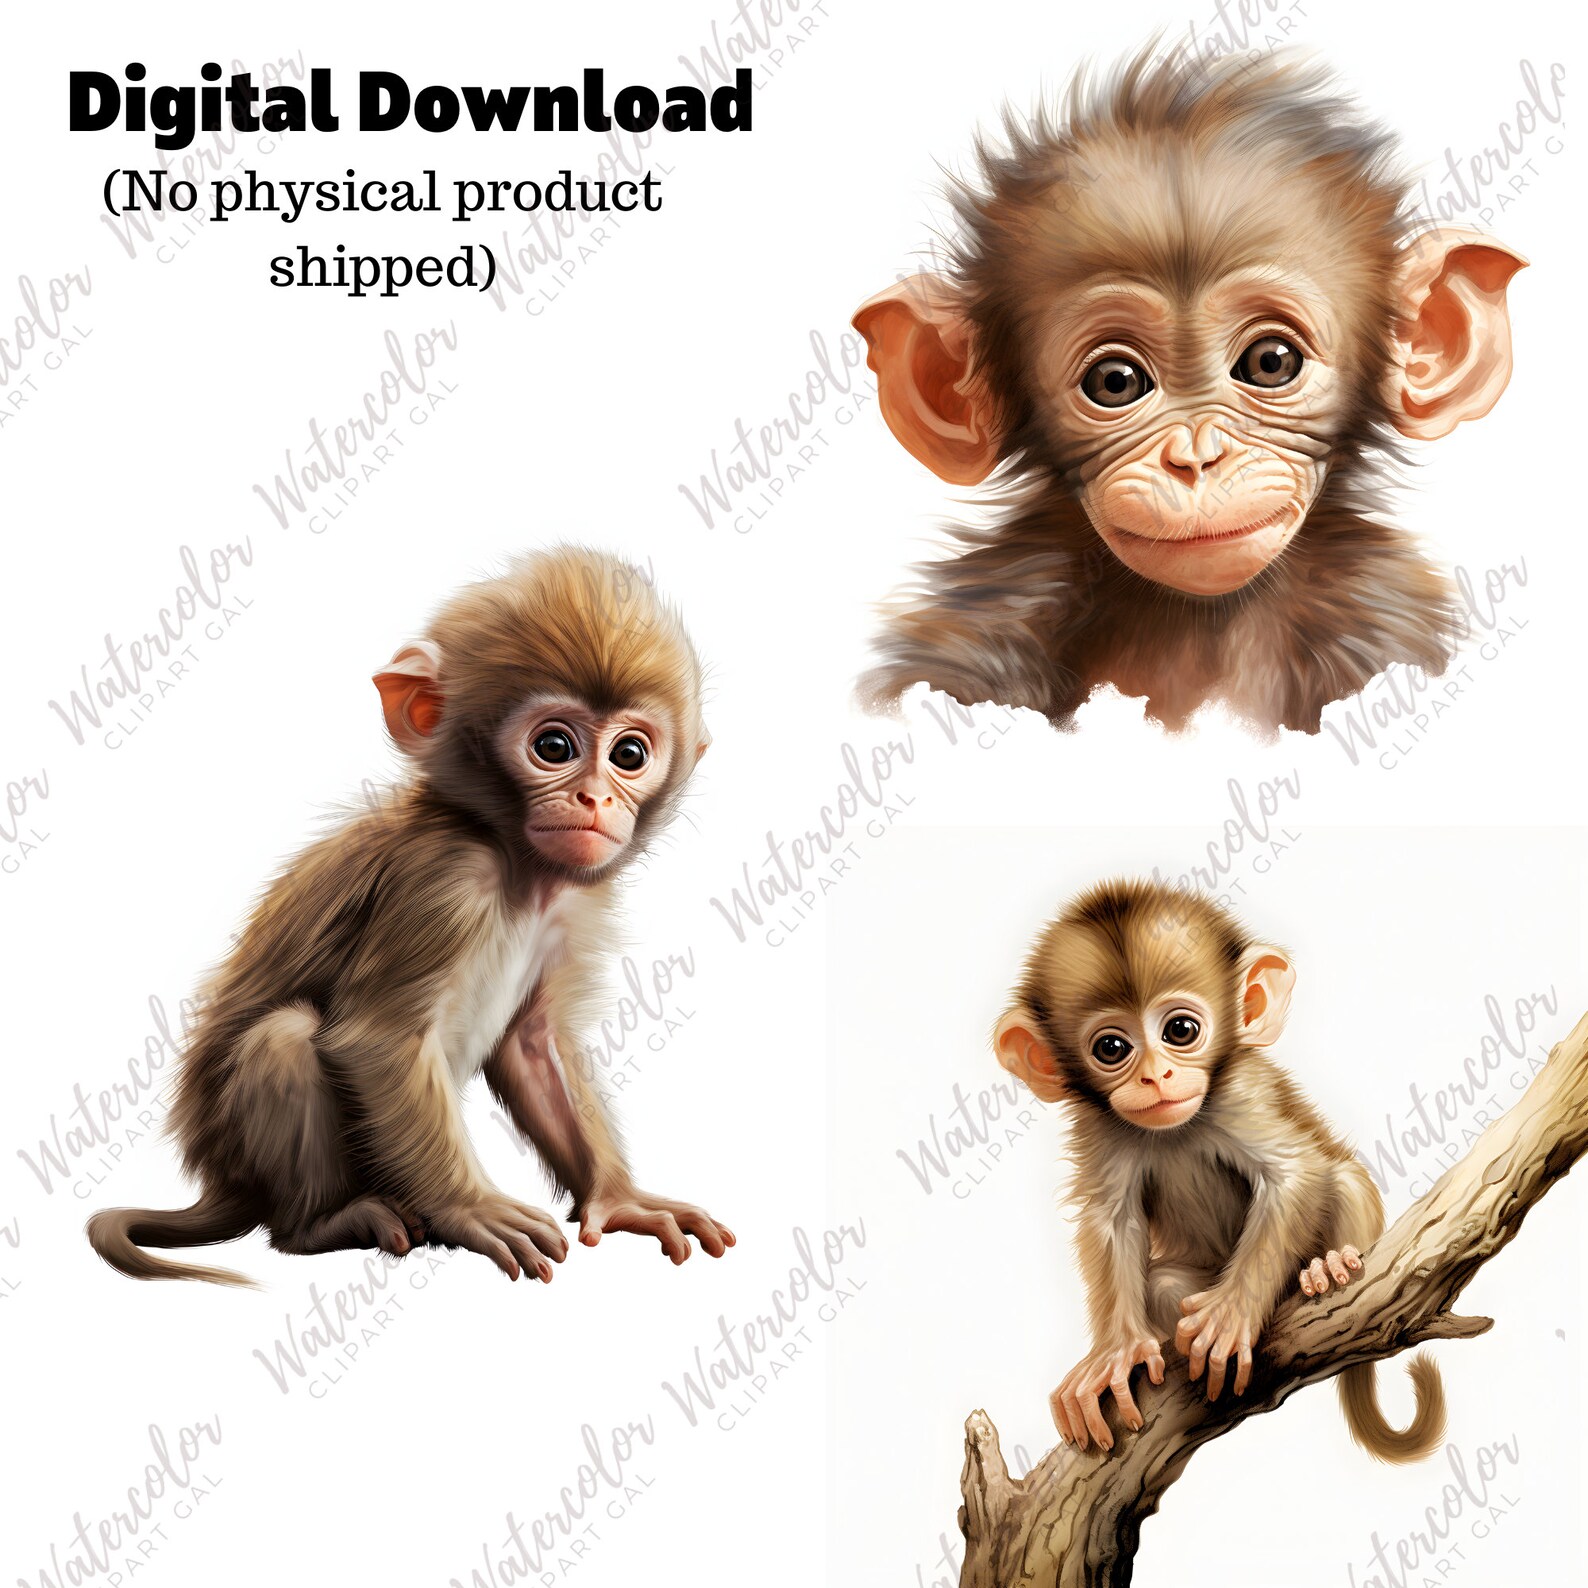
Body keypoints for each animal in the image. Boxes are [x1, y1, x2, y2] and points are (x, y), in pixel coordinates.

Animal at [87, 546, 735, 1287]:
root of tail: (220, 1184)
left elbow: (534, 1042)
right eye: (554, 747)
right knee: (282, 1039)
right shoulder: (440, 881)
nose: (595, 798)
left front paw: (621, 1199)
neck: (516, 868)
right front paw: (471, 1209)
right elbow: (377, 1039)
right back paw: (325, 1223)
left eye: (630, 754)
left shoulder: (571, 907)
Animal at [994, 879, 1445, 1461]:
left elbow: (1295, 1173)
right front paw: (1116, 1352)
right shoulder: (1102, 1129)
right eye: (1111, 1048)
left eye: (1181, 1030)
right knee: (1165, 1282)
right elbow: (1111, 1217)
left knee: (1341, 1182)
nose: (1155, 1076)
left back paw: (1326, 1267)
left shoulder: (1240, 1093)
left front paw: (1232, 1313)